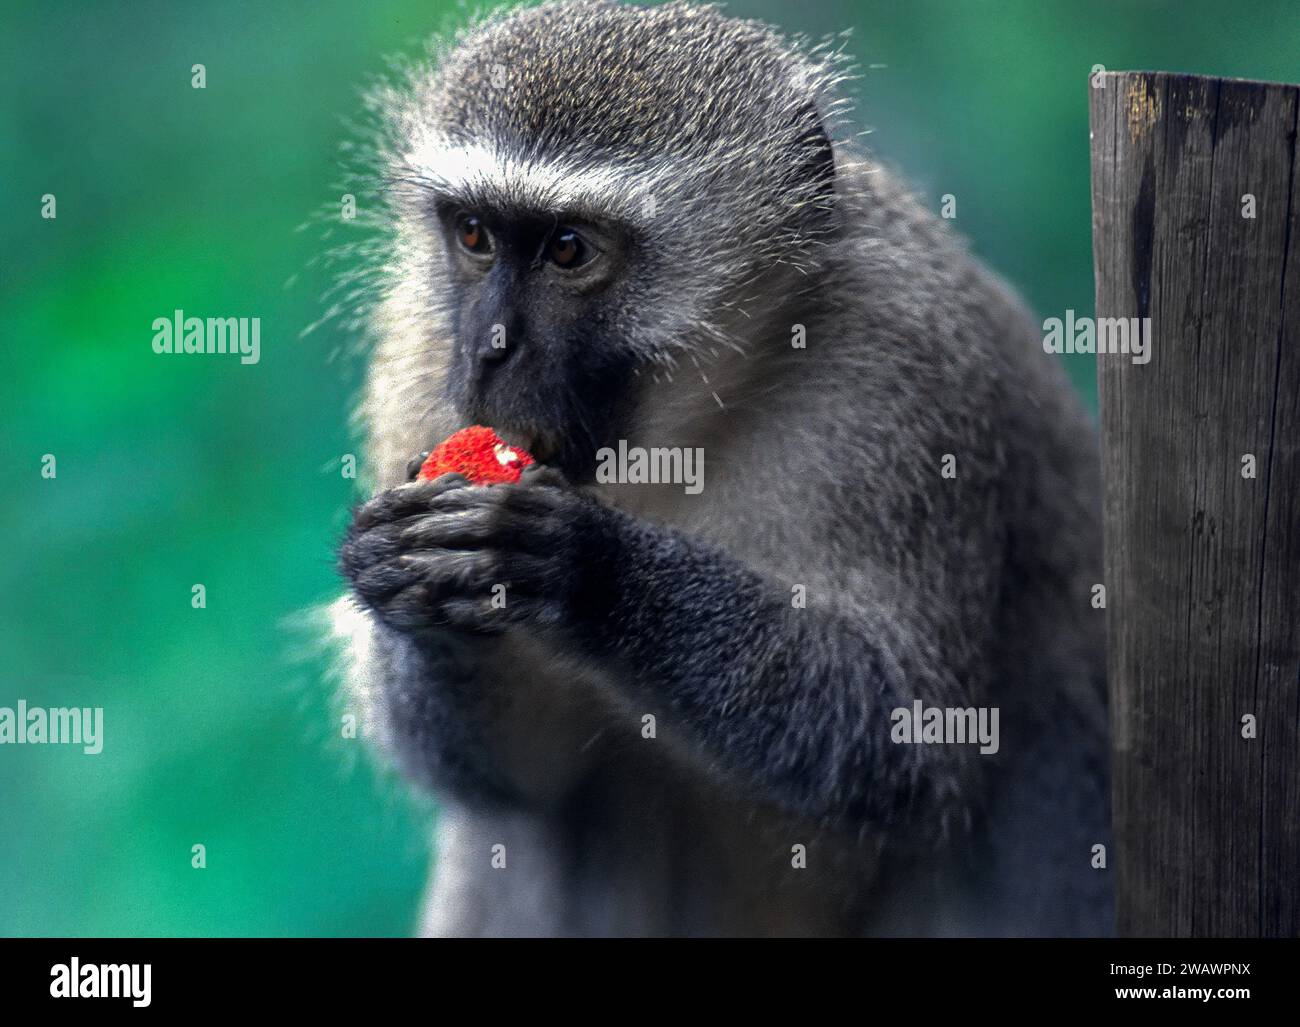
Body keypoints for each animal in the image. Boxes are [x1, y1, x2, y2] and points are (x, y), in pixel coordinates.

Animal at [332, 0, 1112, 937]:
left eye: (568, 250)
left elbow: (918, 738)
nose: (488, 349)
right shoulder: (419, 360)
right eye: (475, 235)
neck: (690, 423)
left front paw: (589, 565)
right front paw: (397, 571)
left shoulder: (915, 359)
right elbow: (519, 778)